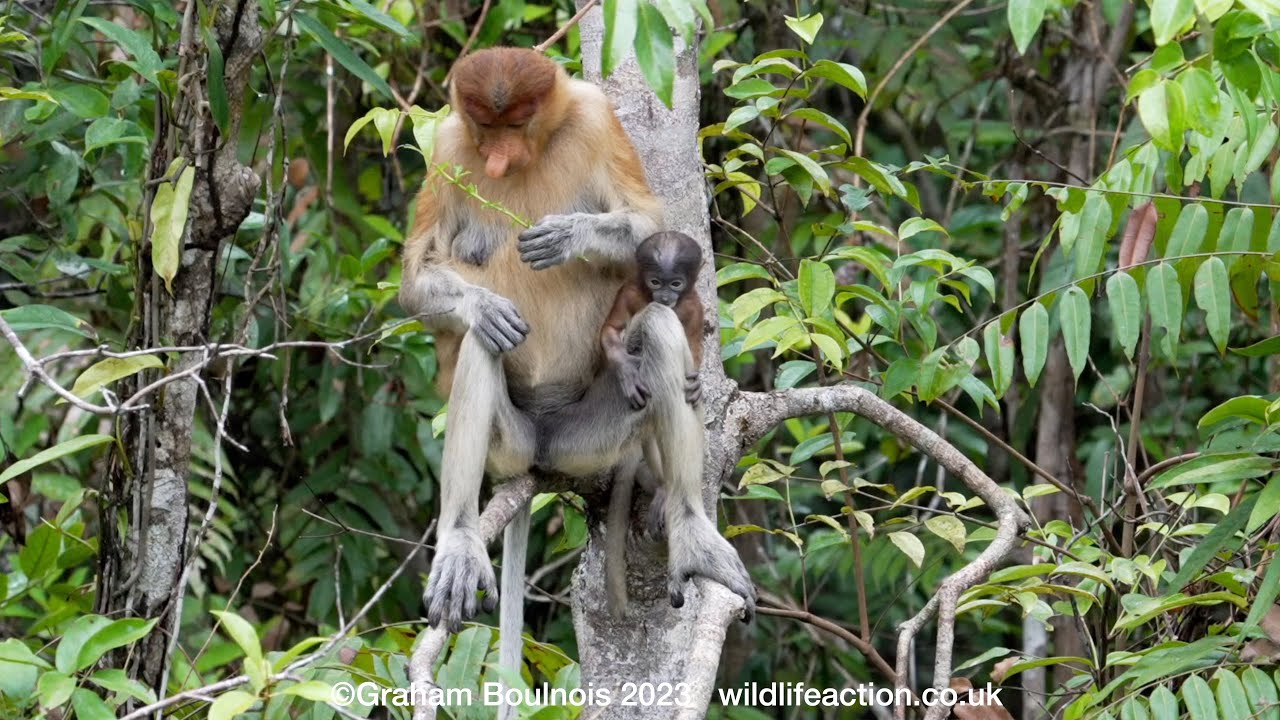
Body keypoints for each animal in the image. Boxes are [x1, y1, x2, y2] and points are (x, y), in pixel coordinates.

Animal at [398, 48, 755, 710]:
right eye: (486, 127)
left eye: (516, 125)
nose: (495, 158)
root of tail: (545, 443)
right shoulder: (448, 147)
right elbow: (419, 274)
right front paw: (484, 303)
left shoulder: (594, 118)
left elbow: (648, 222)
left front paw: (567, 235)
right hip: (510, 442)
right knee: (484, 342)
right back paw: (459, 539)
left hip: (593, 439)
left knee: (657, 327)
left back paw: (690, 529)